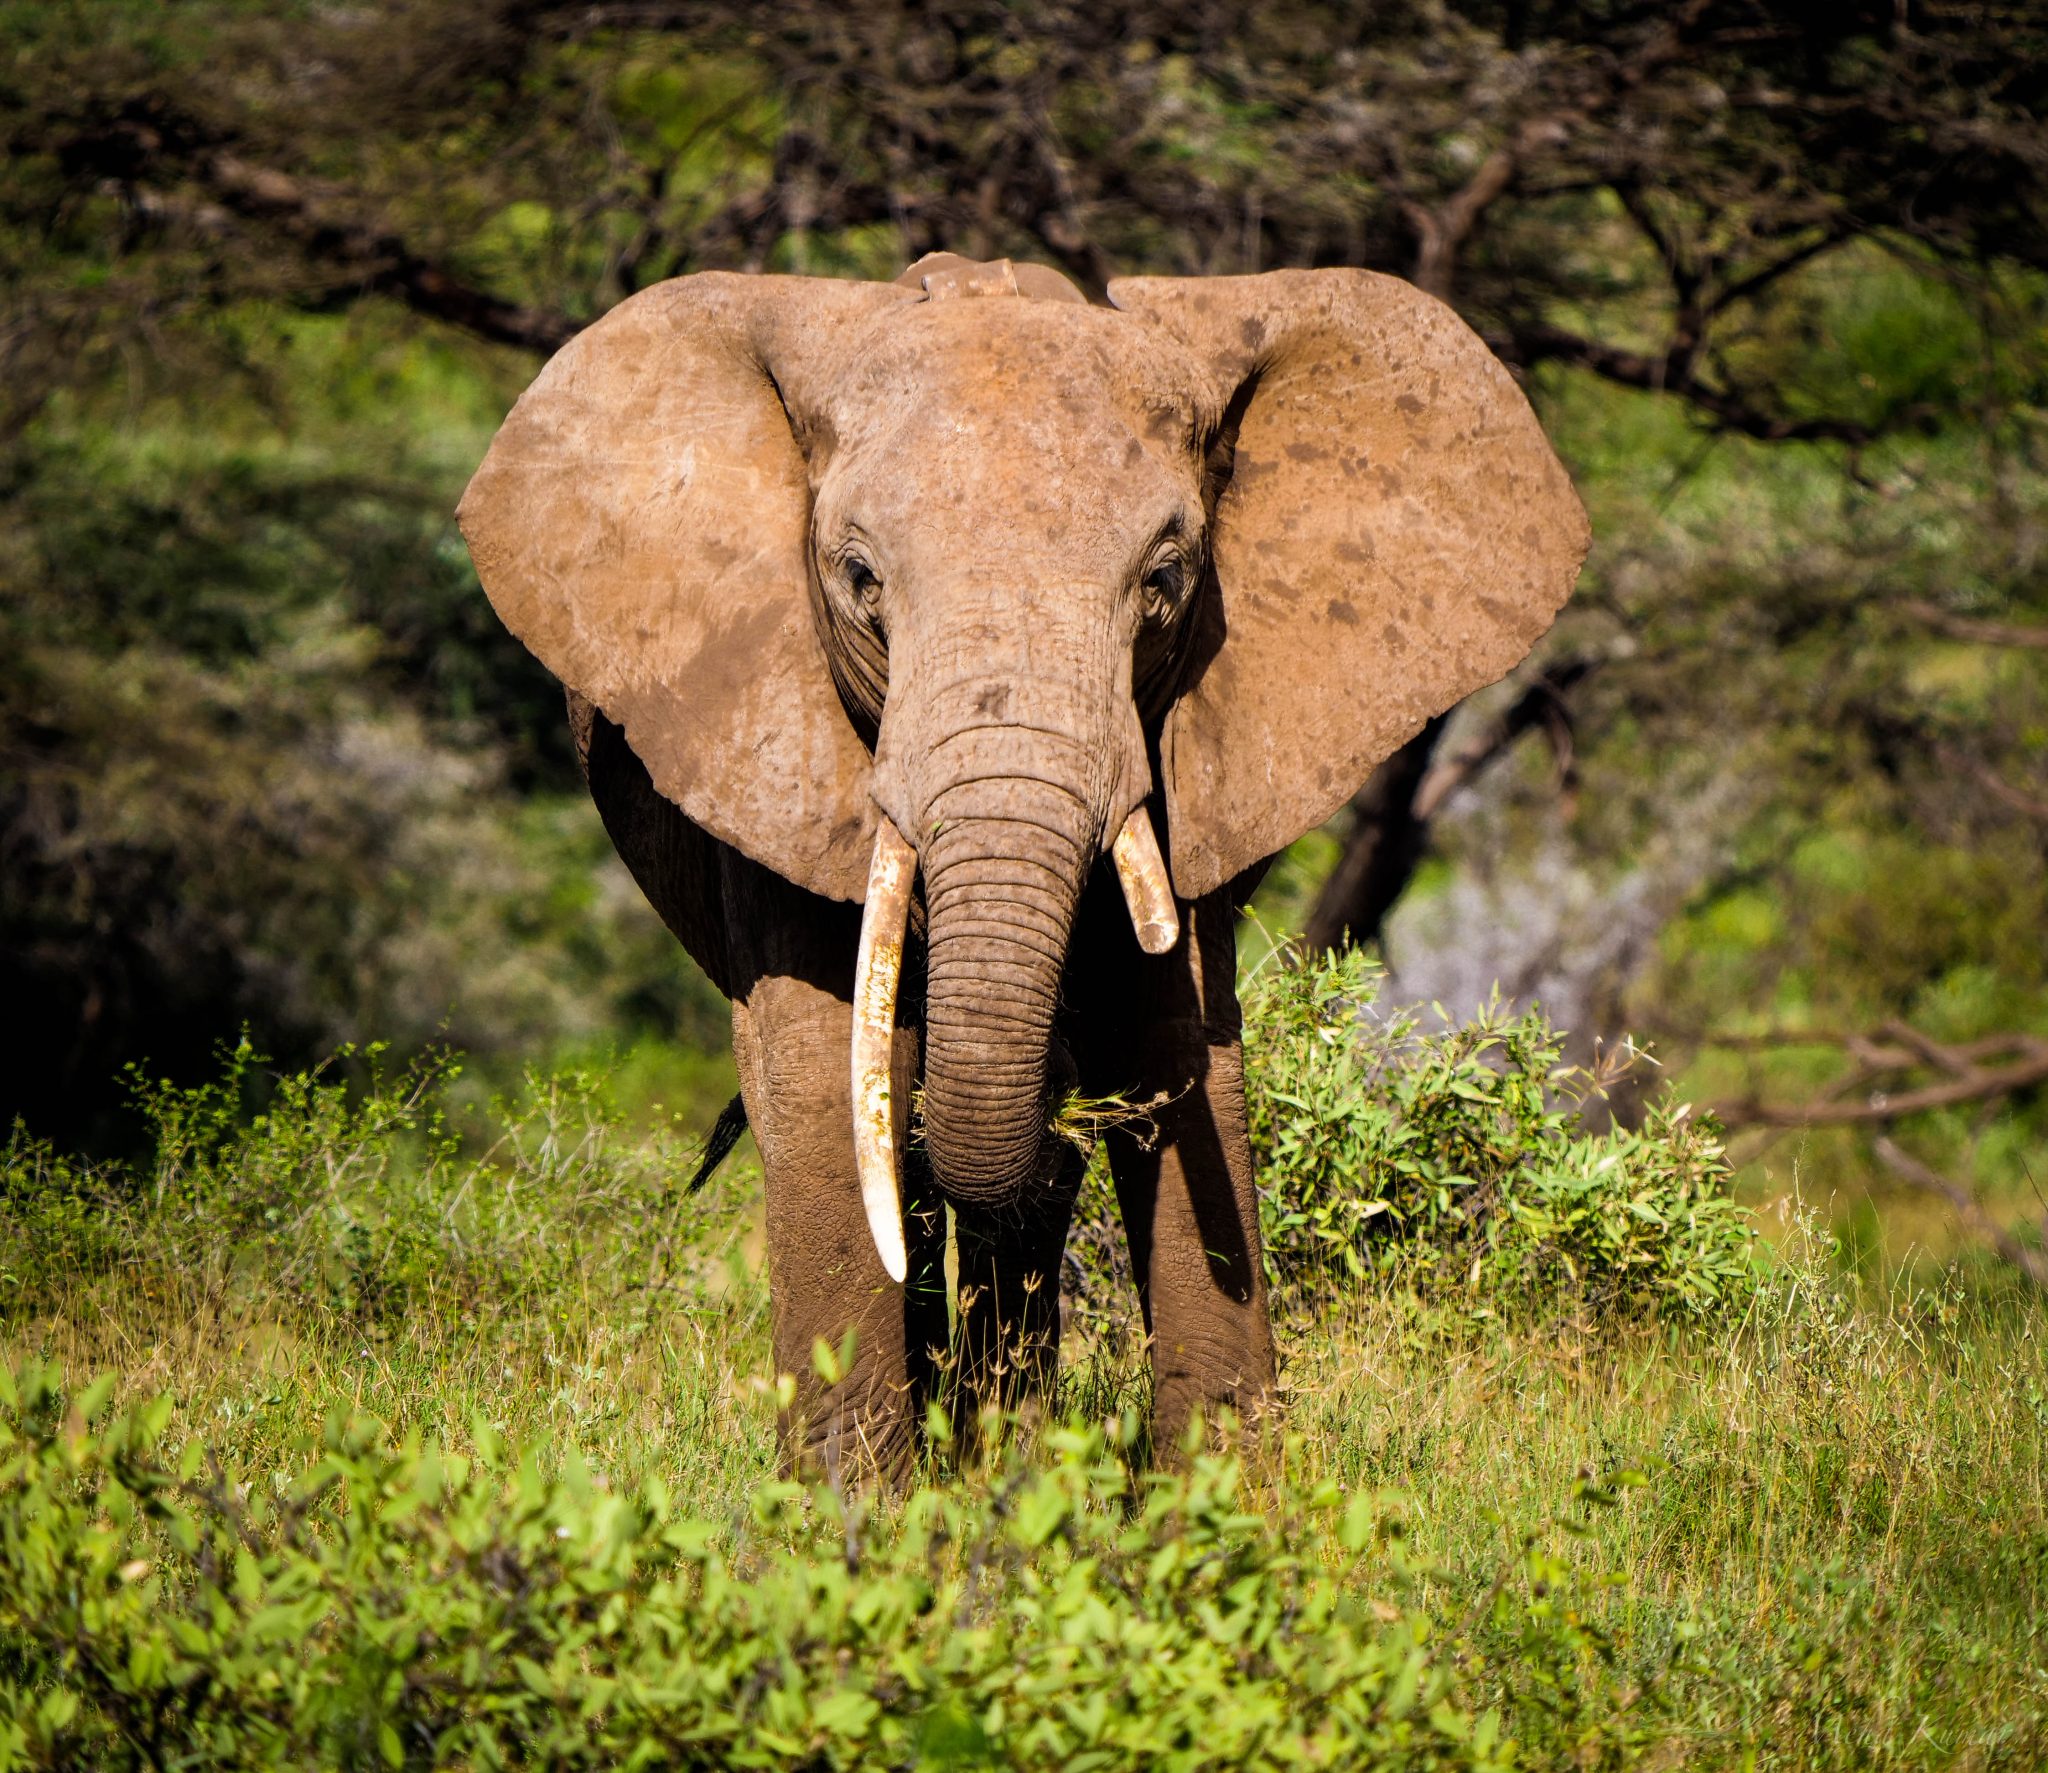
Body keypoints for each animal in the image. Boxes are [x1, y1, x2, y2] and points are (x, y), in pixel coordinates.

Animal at [458, 250, 1587, 1478]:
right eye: (859, 578)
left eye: (1166, 578)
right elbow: (822, 1071)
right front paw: (849, 1518)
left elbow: (1172, 1046)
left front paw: (1227, 1509)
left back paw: (1005, 1461)